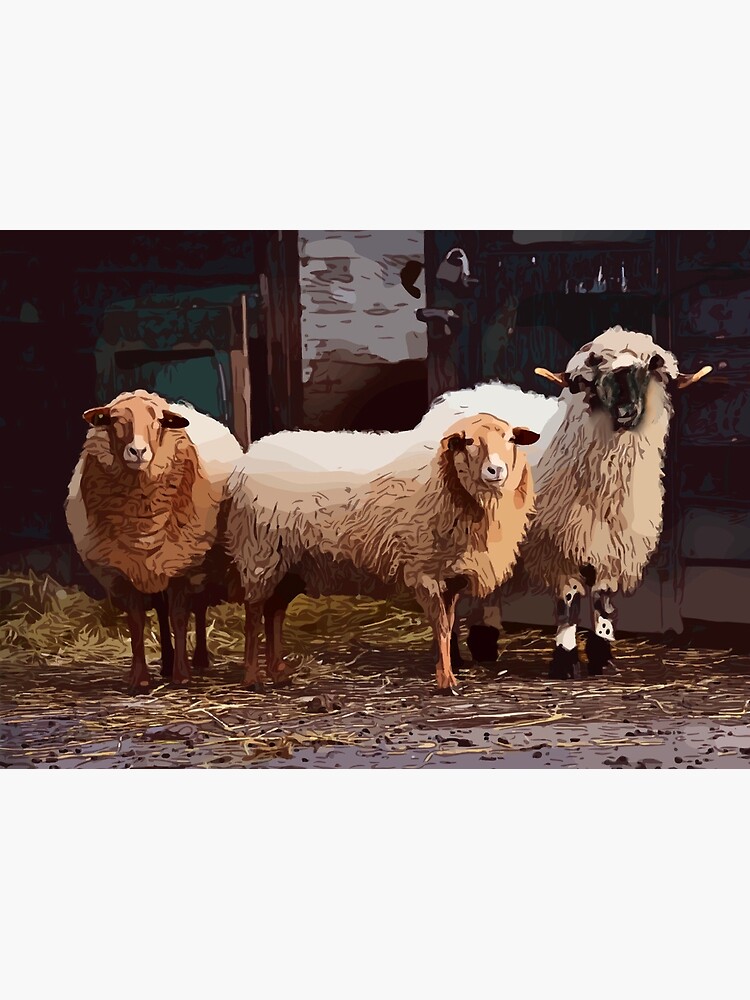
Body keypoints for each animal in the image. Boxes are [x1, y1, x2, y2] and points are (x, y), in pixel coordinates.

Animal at [65, 389, 243, 693]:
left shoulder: (183, 566)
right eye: (113, 420)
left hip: (199, 563)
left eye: (159, 422)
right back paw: (166, 662)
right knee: (160, 612)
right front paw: (140, 678)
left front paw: (182, 675)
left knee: (198, 608)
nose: (137, 452)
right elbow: (137, 623)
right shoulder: (125, 572)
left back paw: (199, 659)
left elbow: (180, 618)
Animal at [226, 414, 539, 693]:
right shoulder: (423, 569)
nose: (495, 471)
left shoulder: (450, 576)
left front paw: (446, 670)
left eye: (511, 439)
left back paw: (278, 672)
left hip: (292, 561)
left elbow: (448, 627)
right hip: (260, 552)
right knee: (254, 615)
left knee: (274, 611)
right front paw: (446, 682)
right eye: (468, 442)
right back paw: (253, 678)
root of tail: (249, 456)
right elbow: (439, 626)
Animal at [417, 326, 712, 678]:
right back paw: (455, 655)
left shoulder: (610, 546)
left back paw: (484, 643)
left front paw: (602, 656)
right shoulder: (559, 545)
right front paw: (565, 660)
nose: (627, 411)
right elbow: (568, 605)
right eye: (598, 374)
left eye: (645, 371)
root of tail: (458, 395)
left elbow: (603, 602)